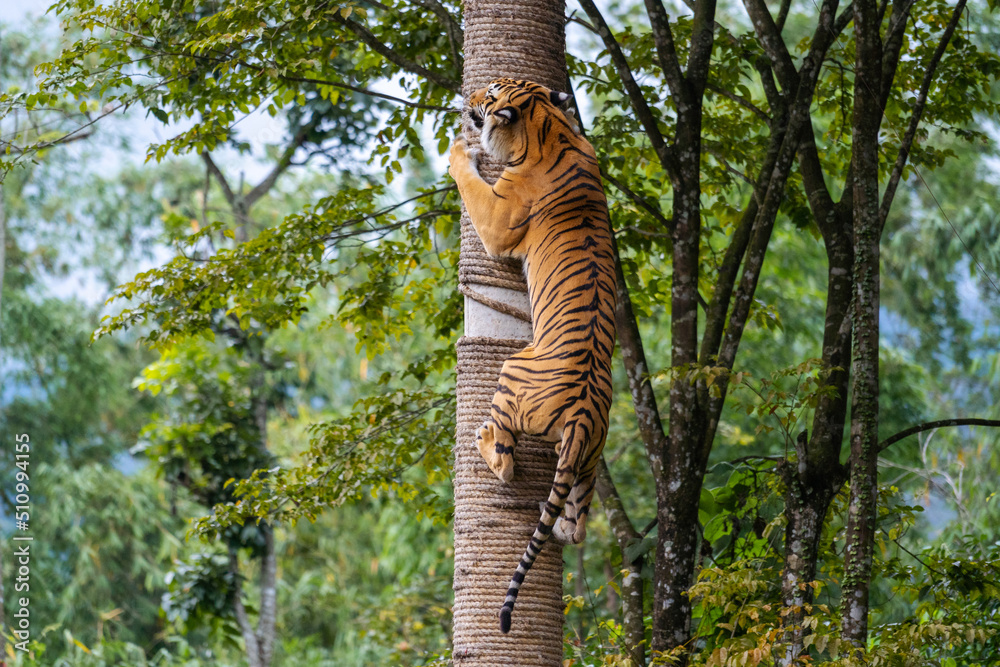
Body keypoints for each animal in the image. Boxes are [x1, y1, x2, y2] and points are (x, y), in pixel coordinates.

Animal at [448, 78, 617, 634]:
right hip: (586, 464)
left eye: (489, 92)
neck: (549, 126)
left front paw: (459, 151)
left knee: (503, 456)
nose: (468, 100)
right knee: (576, 524)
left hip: (510, 368)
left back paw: (483, 440)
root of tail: (584, 415)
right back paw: (564, 529)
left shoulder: (497, 221)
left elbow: (471, 183)